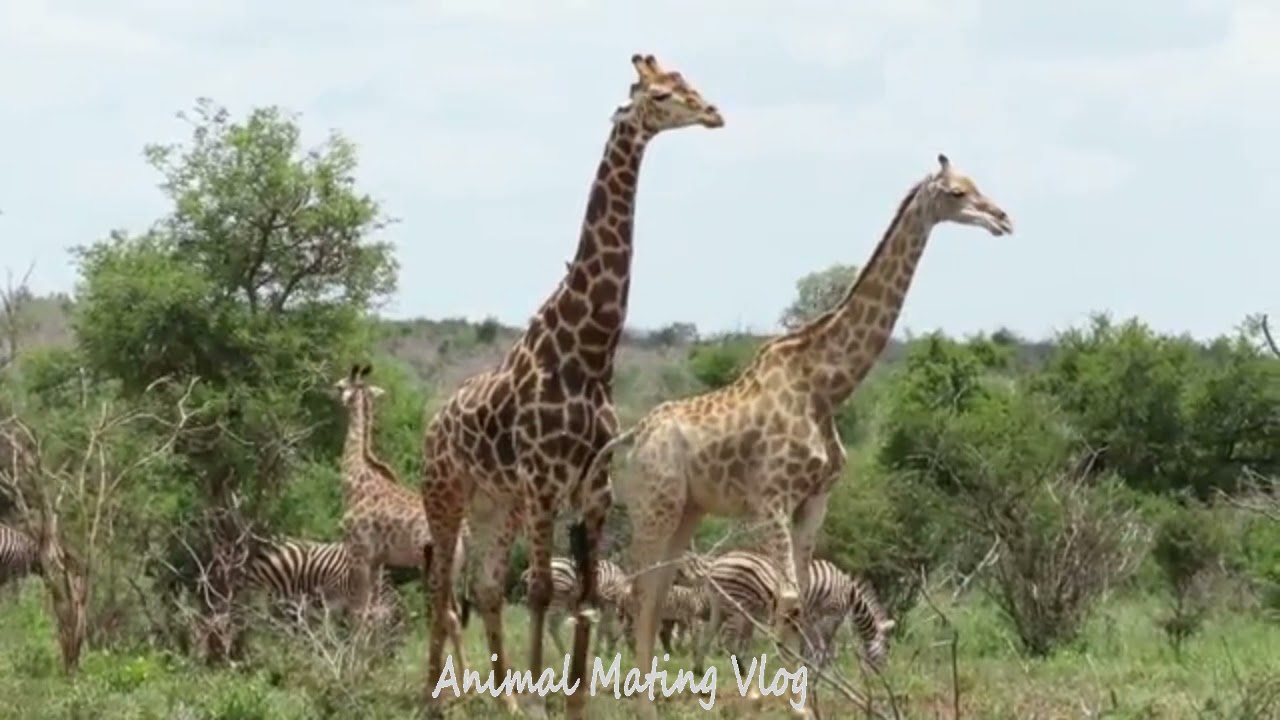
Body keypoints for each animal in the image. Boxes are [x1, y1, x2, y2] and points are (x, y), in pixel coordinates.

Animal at [334, 363, 468, 664]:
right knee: (454, 617)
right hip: (451, 573)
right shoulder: (377, 560)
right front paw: (369, 658)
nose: (332, 390)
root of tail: (462, 534)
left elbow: (359, 612)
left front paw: (354, 662)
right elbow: (371, 613)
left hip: (433, 570)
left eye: (340, 386)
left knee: (448, 617)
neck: (355, 479)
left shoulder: (359, 552)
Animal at [419, 53, 724, 718]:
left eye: (688, 84)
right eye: (661, 95)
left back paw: (502, 700)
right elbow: (538, 593)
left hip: (496, 503)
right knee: (442, 587)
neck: (588, 353)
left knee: (484, 586)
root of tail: (432, 425)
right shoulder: (543, 484)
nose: (714, 113)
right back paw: (432, 697)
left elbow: (584, 600)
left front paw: (570, 702)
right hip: (446, 494)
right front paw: (542, 698)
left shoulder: (594, 488)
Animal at [581, 153, 1013, 719]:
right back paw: (640, 701)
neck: (825, 386)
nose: (1002, 218)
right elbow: (787, 599)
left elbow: (804, 600)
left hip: (687, 509)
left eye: (978, 184)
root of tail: (631, 437)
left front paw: (805, 703)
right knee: (638, 589)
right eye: (958, 192)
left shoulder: (815, 499)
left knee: (655, 590)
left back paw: (651, 695)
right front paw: (784, 701)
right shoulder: (771, 499)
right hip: (654, 504)